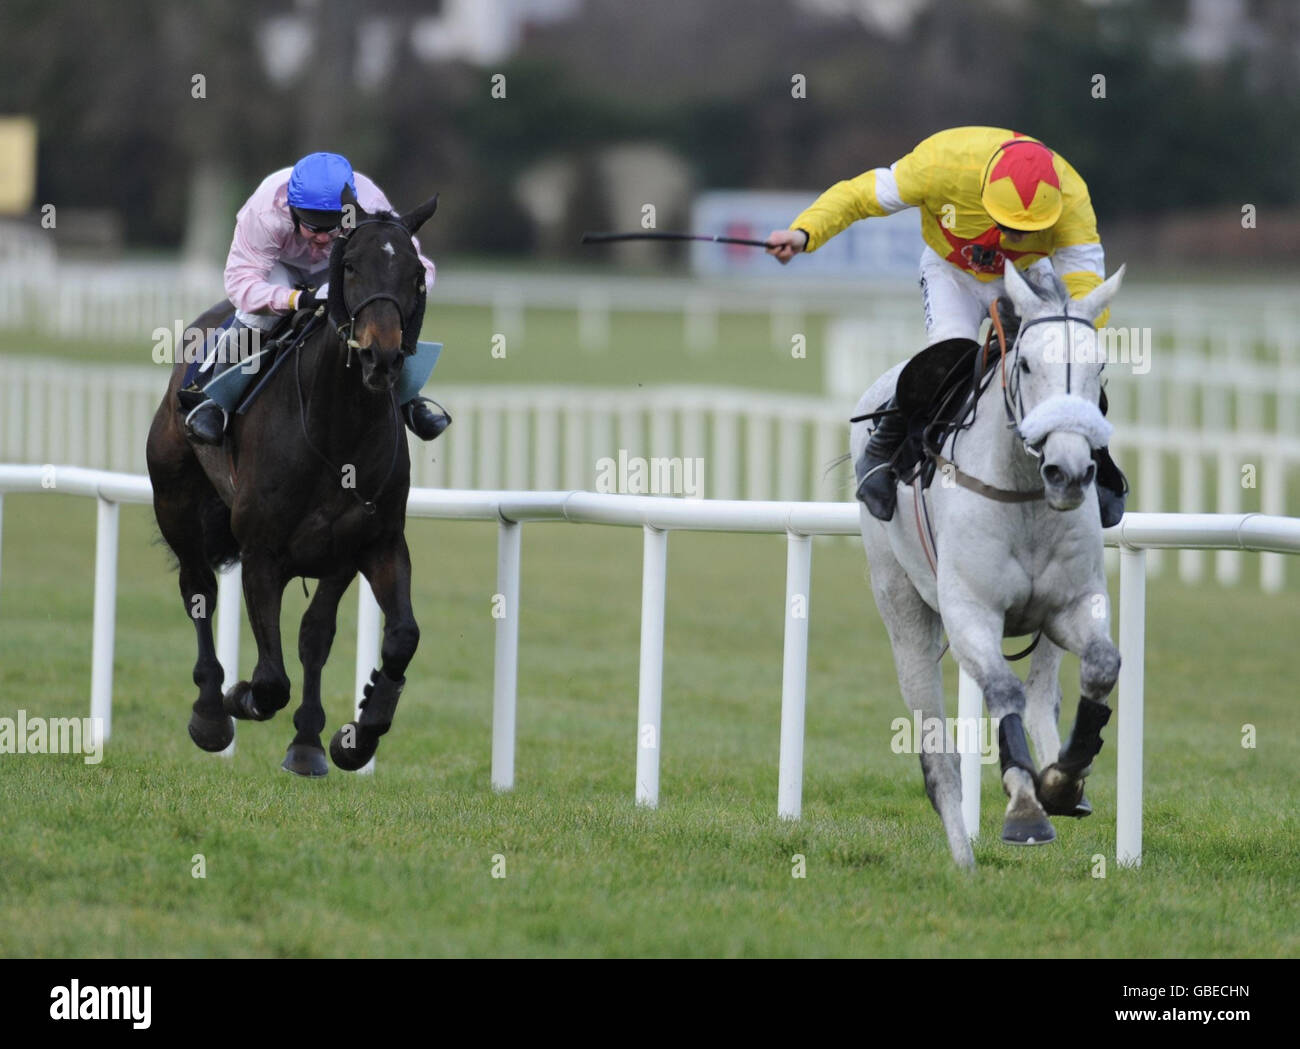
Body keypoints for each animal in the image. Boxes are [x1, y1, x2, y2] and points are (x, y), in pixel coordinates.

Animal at [145, 187, 440, 776]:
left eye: (416, 273)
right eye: (350, 266)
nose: (381, 355)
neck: (337, 432)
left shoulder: (368, 544)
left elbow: (380, 637)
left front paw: (350, 734)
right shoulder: (263, 551)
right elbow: (270, 680)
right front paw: (240, 699)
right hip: (175, 503)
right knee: (199, 591)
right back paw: (210, 713)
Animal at [850, 259, 1126, 868]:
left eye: (1099, 368)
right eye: (1025, 364)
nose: (1070, 471)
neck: (1024, 493)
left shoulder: (1073, 603)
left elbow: (1101, 666)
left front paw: (1062, 781)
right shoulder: (969, 611)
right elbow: (1002, 692)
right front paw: (1025, 808)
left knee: (1046, 693)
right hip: (901, 608)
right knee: (938, 757)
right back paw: (964, 862)